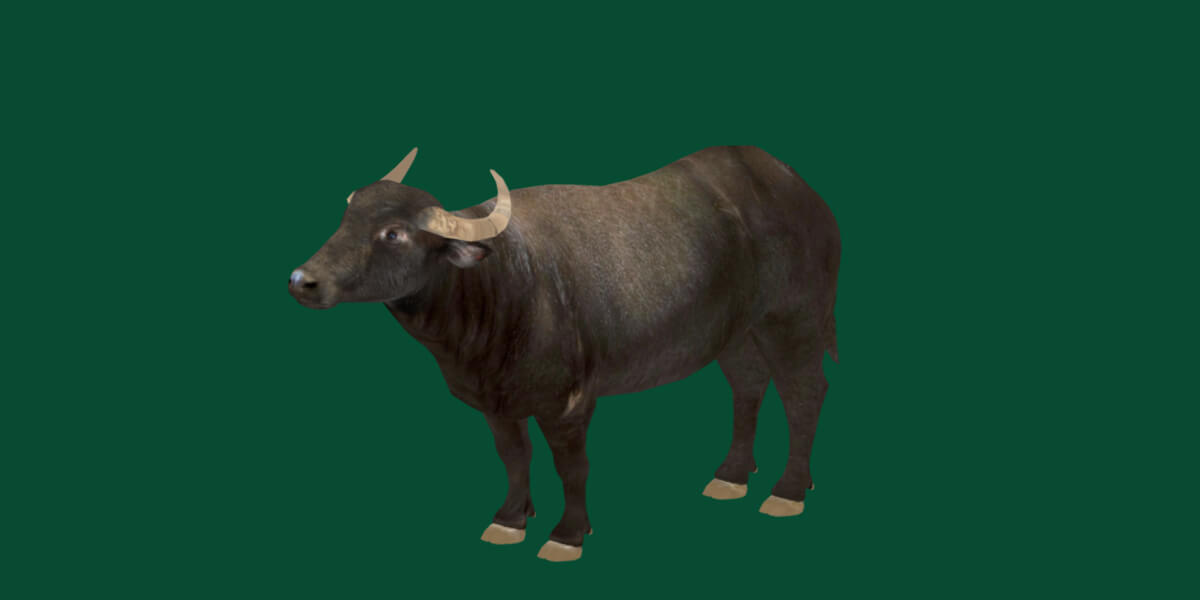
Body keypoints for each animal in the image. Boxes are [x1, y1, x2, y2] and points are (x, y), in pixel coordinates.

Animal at [289, 146, 840, 561]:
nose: (302, 280)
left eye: (394, 233)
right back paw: (731, 476)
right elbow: (514, 456)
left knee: (805, 393)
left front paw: (567, 535)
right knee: (748, 385)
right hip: (737, 333)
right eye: (347, 216)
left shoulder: (569, 403)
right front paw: (509, 520)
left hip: (793, 319)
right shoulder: (496, 403)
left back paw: (788, 490)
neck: (500, 285)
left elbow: (571, 466)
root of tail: (798, 188)